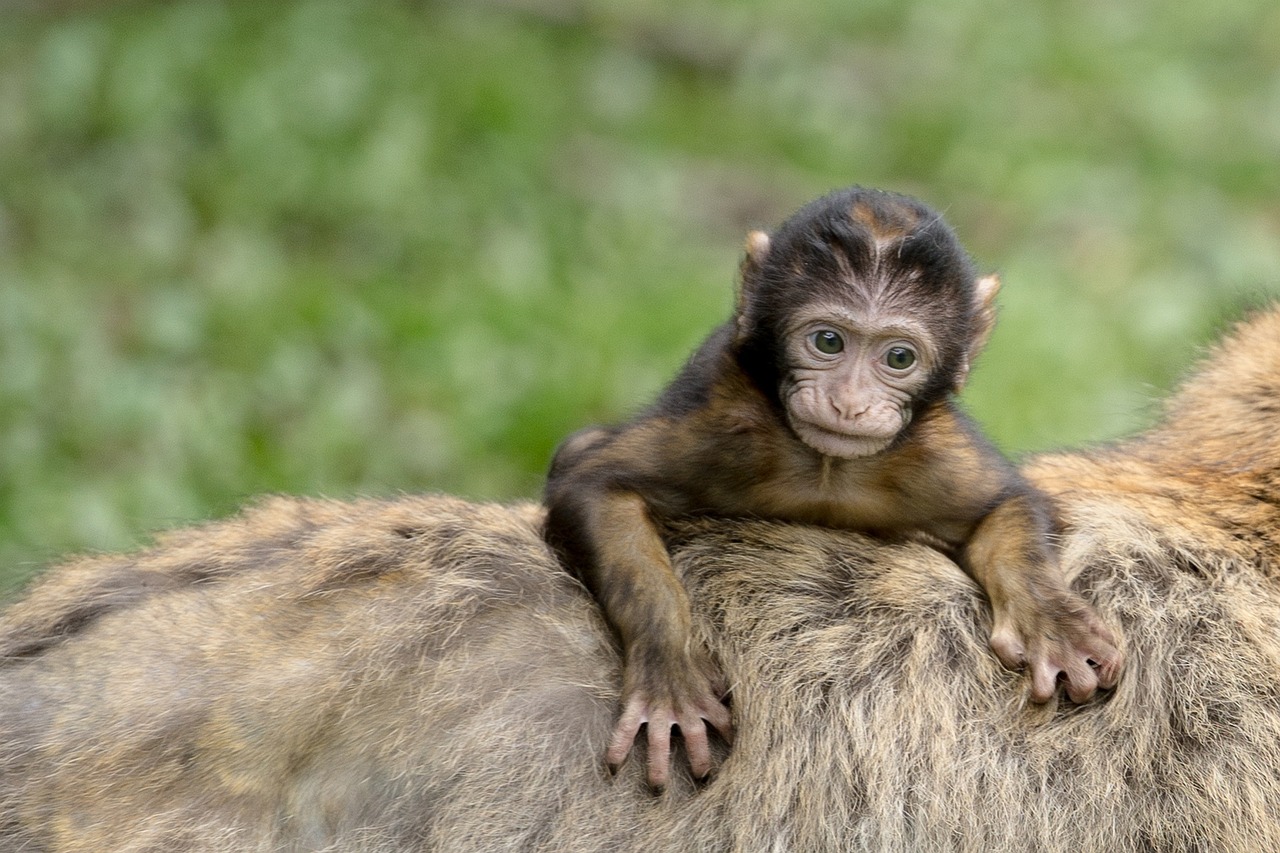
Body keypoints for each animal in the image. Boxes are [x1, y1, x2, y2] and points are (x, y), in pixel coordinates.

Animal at [542, 186, 1124, 787]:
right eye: (827, 341)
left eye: (898, 357)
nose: (848, 402)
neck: (826, 466)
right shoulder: (725, 419)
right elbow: (593, 482)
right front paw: (670, 679)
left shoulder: (931, 452)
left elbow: (1006, 505)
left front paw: (1051, 622)